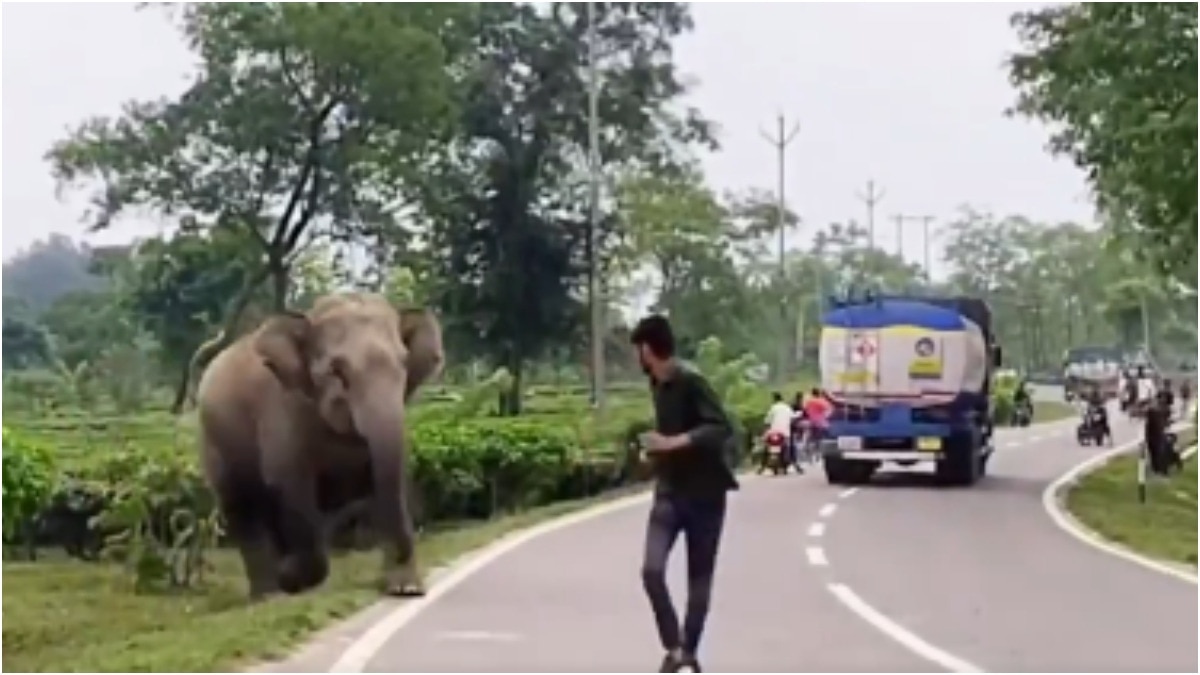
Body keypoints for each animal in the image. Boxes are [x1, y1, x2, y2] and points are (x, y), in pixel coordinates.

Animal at [195, 292, 443, 598]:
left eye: (404, 363)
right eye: (337, 371)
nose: (408, 587)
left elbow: (386, 477)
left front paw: (405, 588)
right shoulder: (281, 411)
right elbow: (288, 484)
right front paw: (290, 576)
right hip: (214, 445)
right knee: (243, 507)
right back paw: (269, 593)